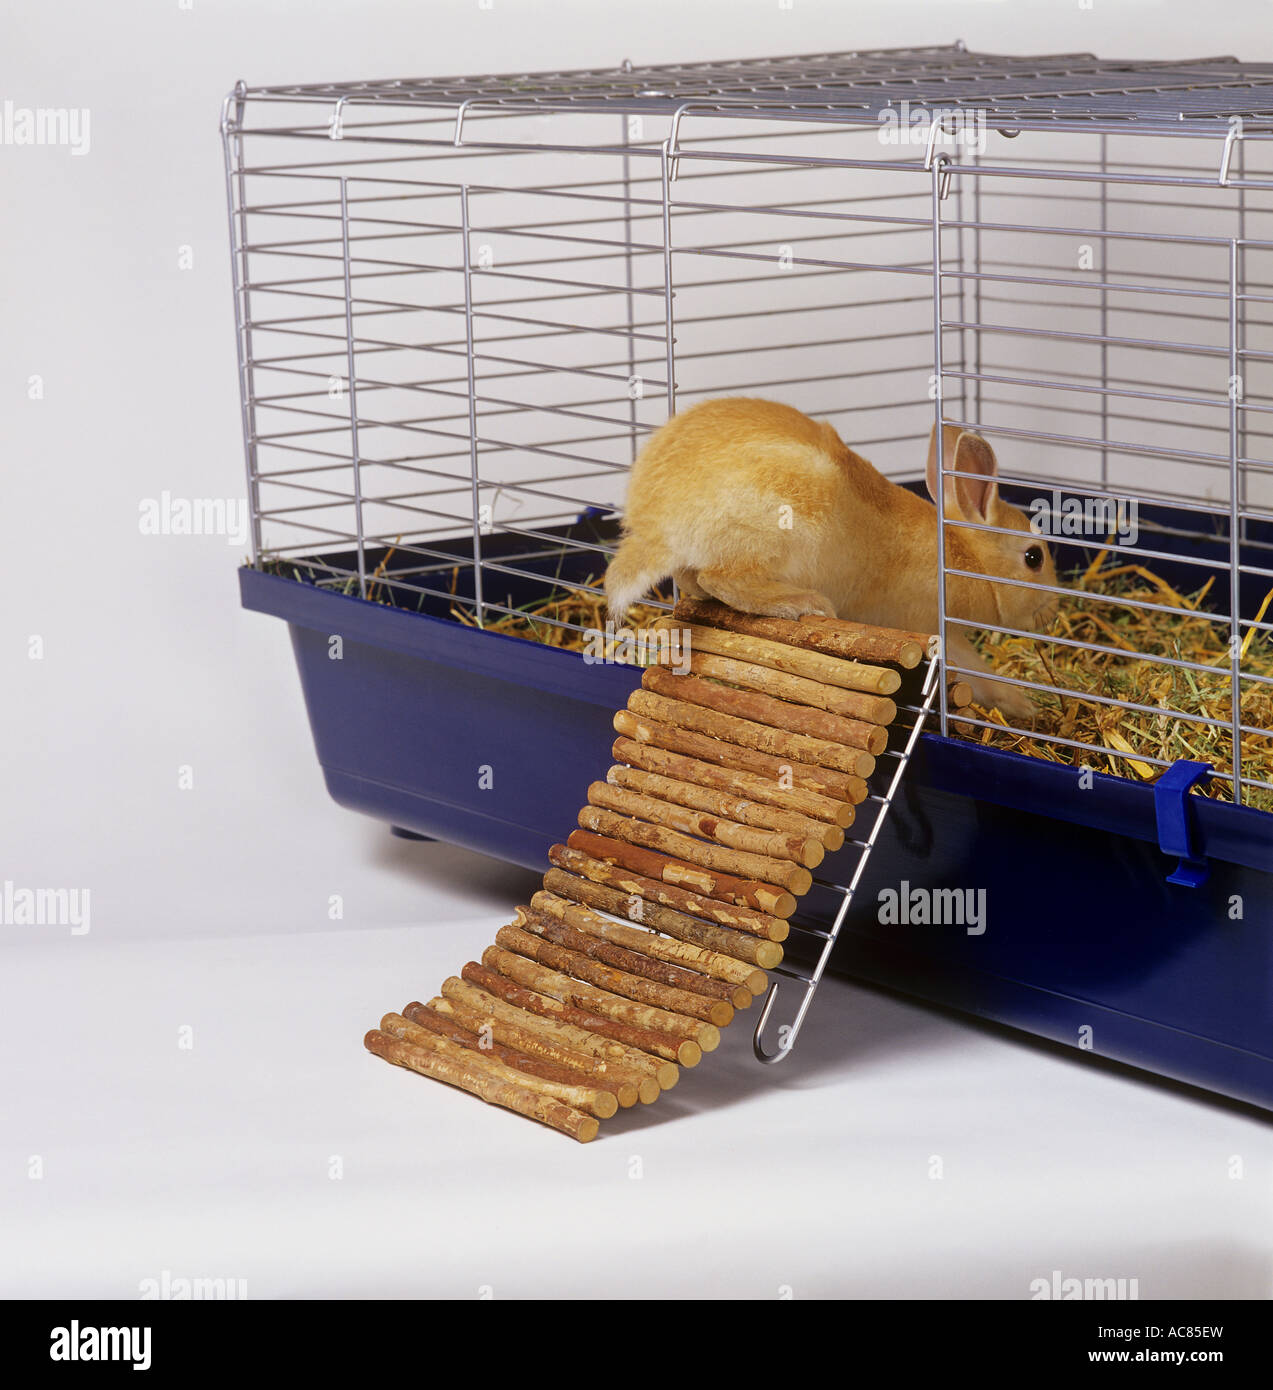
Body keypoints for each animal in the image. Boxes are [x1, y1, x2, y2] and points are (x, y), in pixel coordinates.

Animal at [604, 396, 1058, 720]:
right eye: (1033, 557)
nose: (1052, 607)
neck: (965, 556)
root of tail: (657, 526)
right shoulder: (930, 624)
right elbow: (974, 669)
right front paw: (1023, 705)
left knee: (697, 583)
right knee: (726, 580)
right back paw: (801, 603)